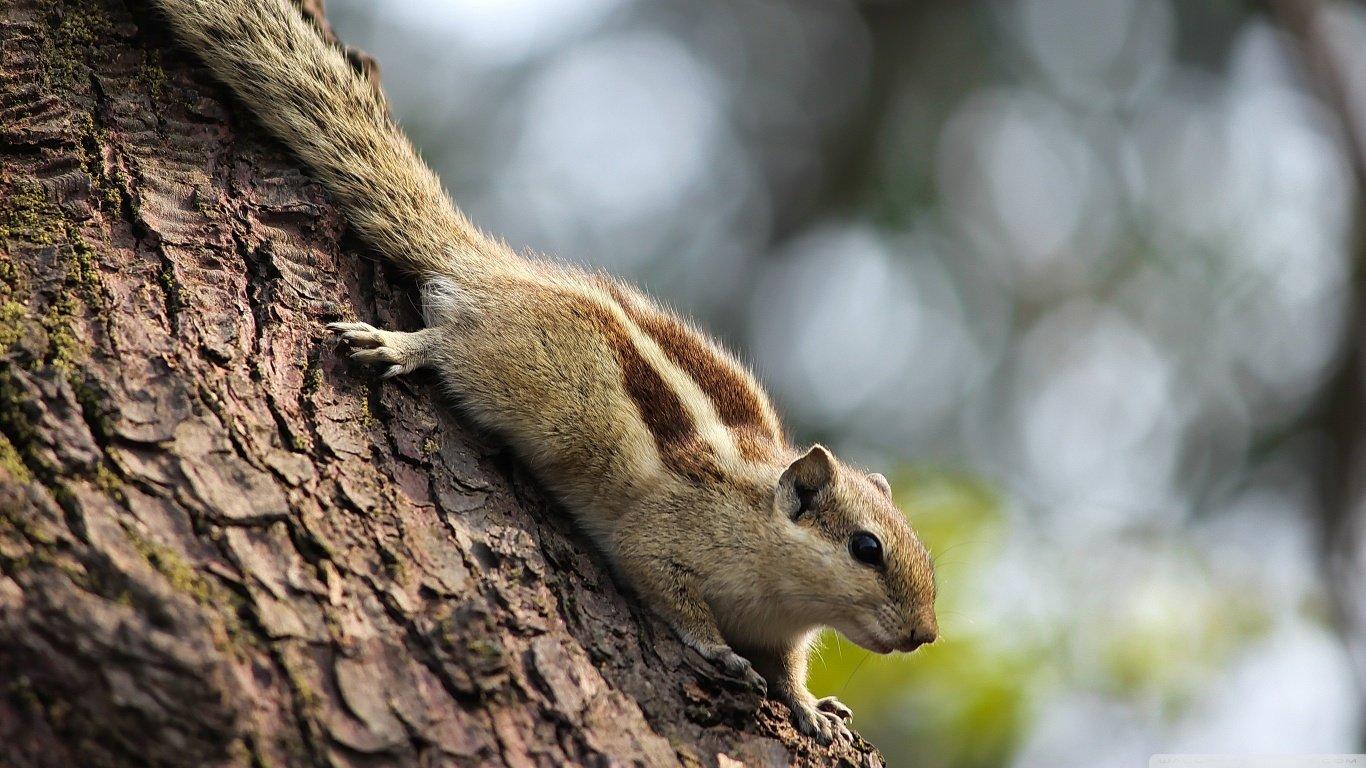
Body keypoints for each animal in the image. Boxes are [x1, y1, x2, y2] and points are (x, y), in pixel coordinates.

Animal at [148, 0, 938, 745]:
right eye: (866, 548)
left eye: (917, 549)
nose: (924, 635)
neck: (777, 571)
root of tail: (495, 271)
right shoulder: (667, 540)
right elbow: (672, 594)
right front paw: (716, 650)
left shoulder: (784, 633)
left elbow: (789, 673)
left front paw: (810, 708)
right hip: (512, 371)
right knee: (452, 339)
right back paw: (404, 345)